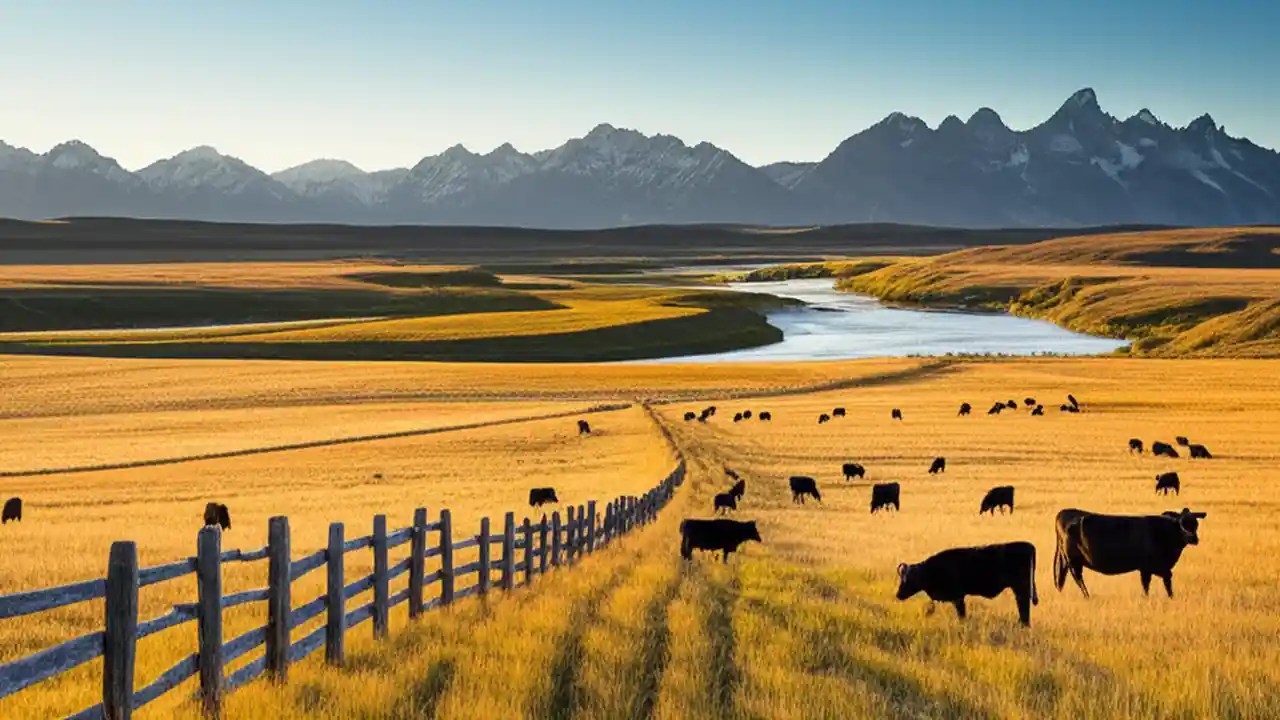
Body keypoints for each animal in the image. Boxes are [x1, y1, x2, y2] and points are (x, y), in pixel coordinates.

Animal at [895, 542, 1039, 626]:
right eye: (901, 577)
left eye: (909, 579)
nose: (898, 595)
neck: (930, 569)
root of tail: (1028, 545)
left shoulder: (958, 597)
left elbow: (962, 614)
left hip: (1021, 589)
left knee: (1023, 607)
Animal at [1054, 507, 1205, 598]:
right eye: (1182, 524)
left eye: (1196, 524)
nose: (1194, 538)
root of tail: (1065, 512)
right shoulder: (1152, 567)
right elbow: (1159, 584)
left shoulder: (1151, 569)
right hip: (1073, 561)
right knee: (1078, 578)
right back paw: (1087, 596)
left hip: (1066, 560)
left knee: (1061, 578)